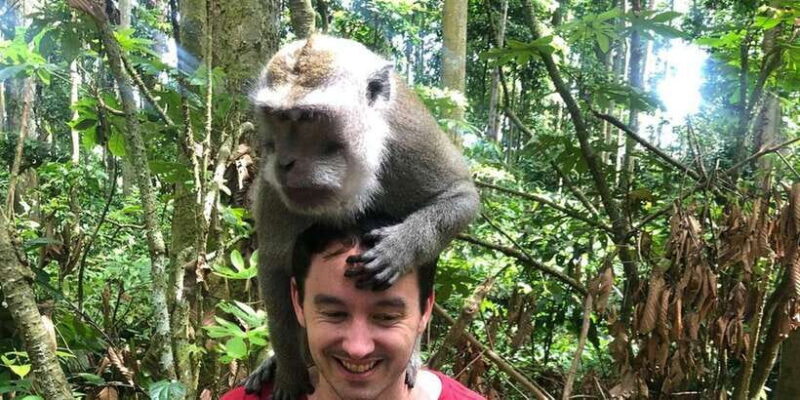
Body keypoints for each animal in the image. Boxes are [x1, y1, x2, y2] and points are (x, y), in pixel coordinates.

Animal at [244, 35, 480, 399]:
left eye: (308, 118)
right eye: (278, 117)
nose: (284, 162)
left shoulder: (409, 139)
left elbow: (461, 196)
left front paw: (399, 247)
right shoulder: (274, 189)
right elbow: (274, 264)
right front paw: (289, 371)